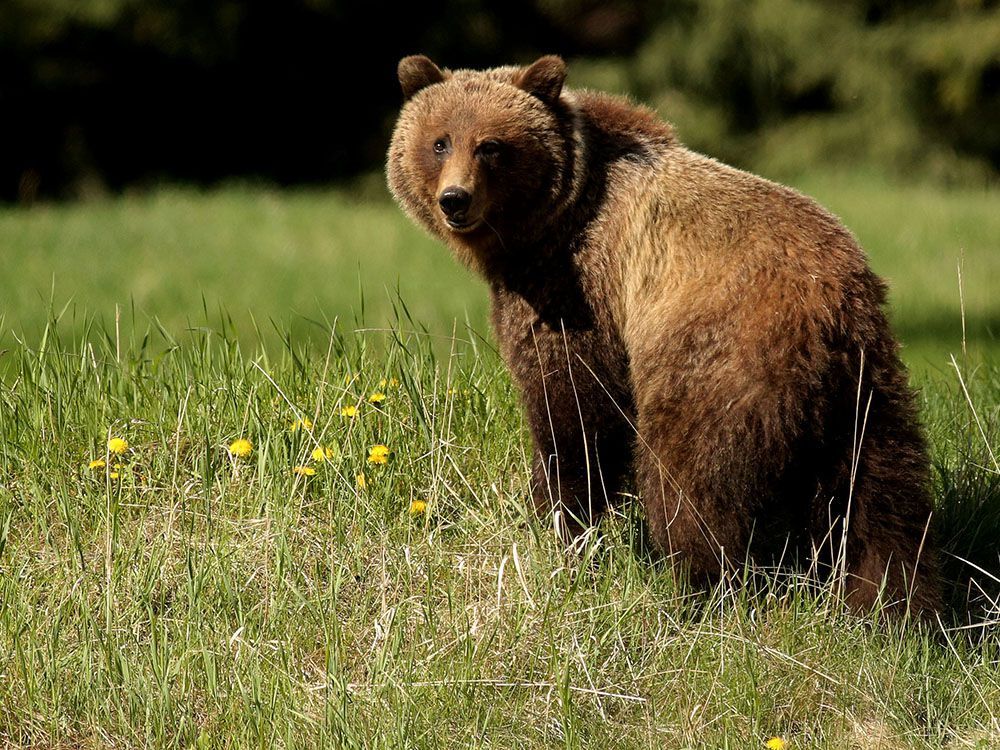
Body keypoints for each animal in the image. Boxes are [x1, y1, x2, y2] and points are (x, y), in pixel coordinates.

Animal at [387, 54, 939, 615]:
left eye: (491, 146)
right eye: (440, 141)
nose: (455, 200)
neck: (550, 222)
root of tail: (830, 305)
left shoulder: (579, 286)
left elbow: (572, 407)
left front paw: (558, 518)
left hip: (717, 356)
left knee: (689, 478)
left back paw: (694, 588)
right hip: (866, 387)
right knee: (880, 499)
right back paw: (892, 604)